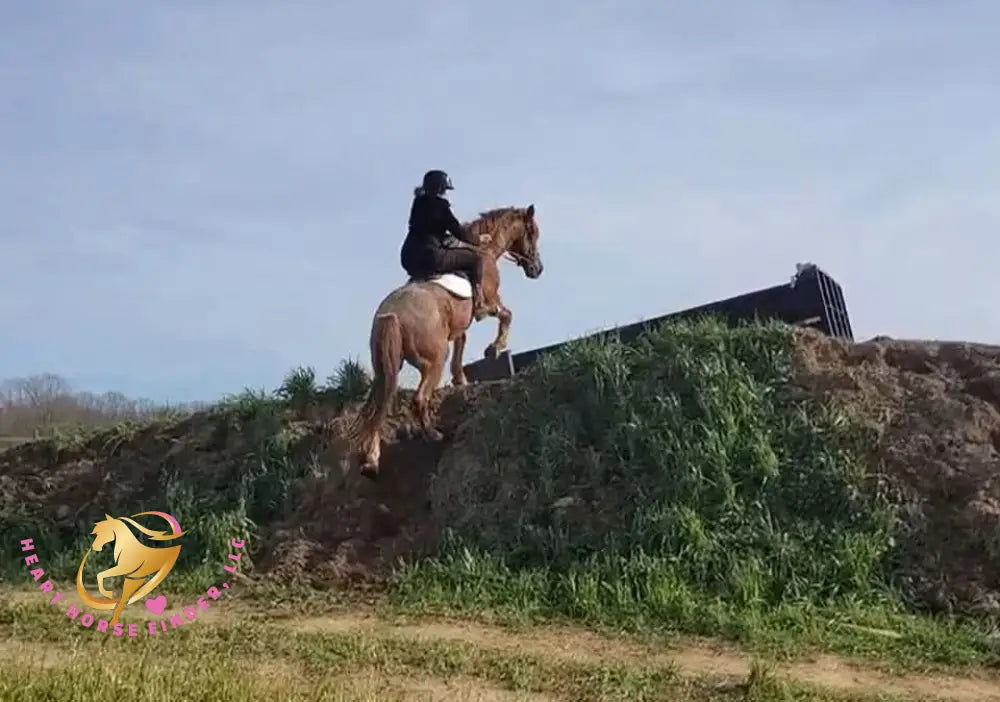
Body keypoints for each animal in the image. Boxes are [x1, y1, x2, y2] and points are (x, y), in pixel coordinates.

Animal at [351, 204, 544, 479]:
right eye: (533, 233)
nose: (537, 269)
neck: (484, 249)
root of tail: (391, 315)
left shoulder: (459, 324)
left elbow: (461, 343)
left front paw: (460, 379)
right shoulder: (490, 302)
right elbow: (506, 315)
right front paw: (494, 348)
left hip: (386, 368)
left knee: (378, 408)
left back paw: (371, 461)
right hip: (433, 360)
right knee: (419, 398)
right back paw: (431, 433)